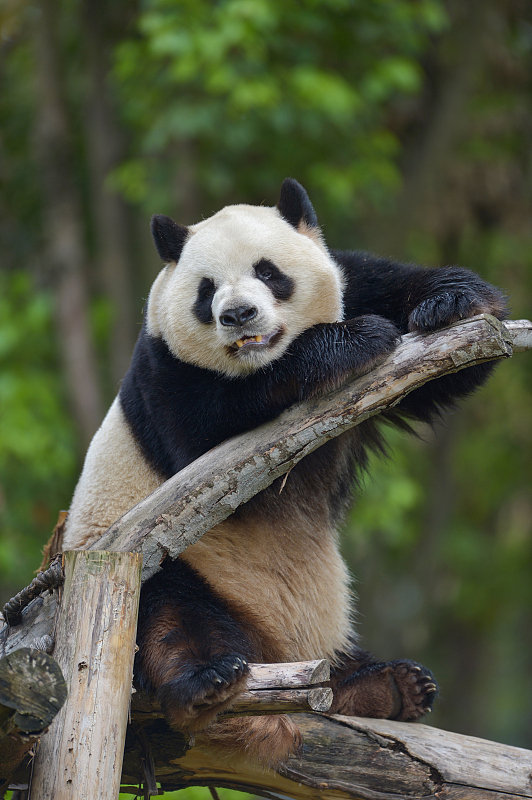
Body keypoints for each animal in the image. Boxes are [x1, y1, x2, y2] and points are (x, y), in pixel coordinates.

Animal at [62, 178, 507, 766]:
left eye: (269, 272)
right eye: (206, 291)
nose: (238, 315)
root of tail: (275, 656)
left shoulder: (353, 280)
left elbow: (446, 356)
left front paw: (448, 302)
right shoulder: (166, 372)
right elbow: (208, 433)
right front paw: (352, 342)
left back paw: (388, 686)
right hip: (159, 558)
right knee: (169, 618)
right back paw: (206, 684)